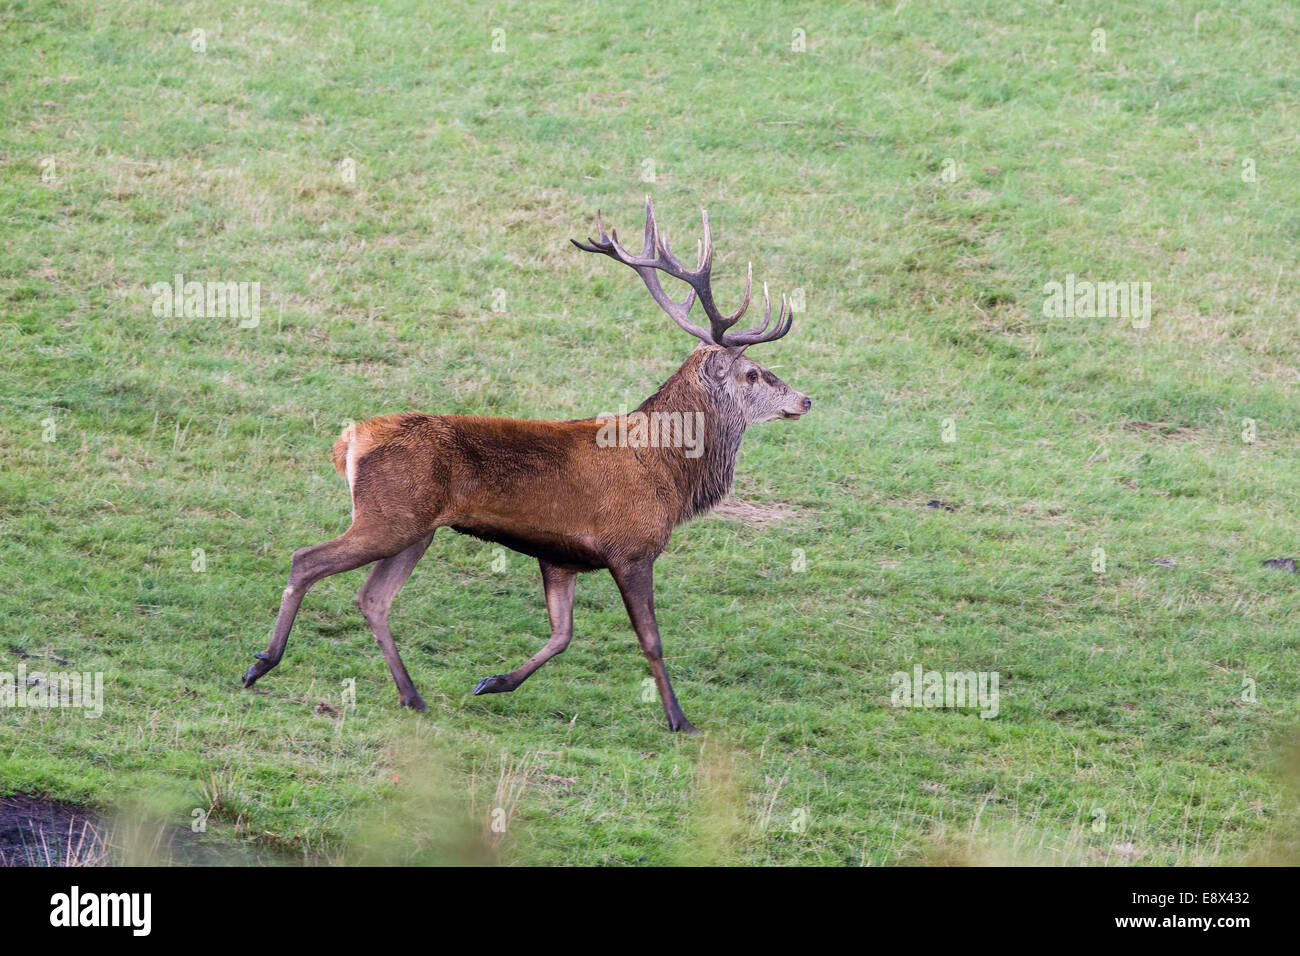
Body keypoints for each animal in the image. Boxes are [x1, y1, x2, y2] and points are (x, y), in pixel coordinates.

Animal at [242, 198, 812, 732]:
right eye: (755, 374)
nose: (805, 399)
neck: (671, 475)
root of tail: (350, 441)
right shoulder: (631, 548)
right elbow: (650, 639)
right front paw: (680, 721)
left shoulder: (562, 557)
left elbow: (562, 634)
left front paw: (492, 681)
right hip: (389, 515)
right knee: (307, 559)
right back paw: (262, 663)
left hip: (416, 528)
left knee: (373, 598)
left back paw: (412, 695)